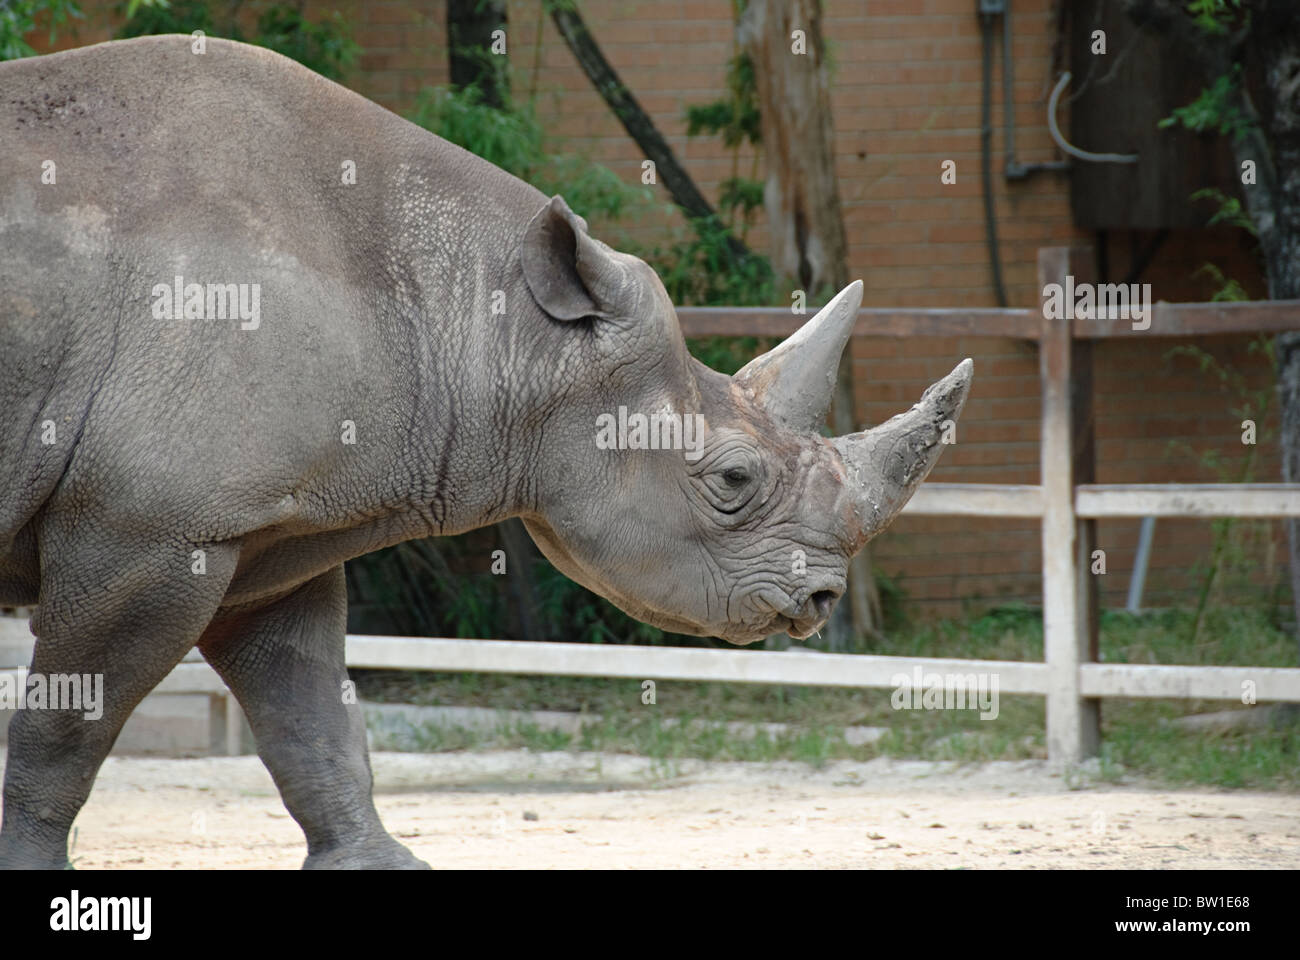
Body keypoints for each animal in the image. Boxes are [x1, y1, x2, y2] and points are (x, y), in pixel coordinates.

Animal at [0, 36, 970, 869]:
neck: (487, 324)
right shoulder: (146, 528)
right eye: (733, 478)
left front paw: (379, 865)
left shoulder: (256, 531)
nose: (821, 599)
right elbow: (71, 724)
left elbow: (312, 715)